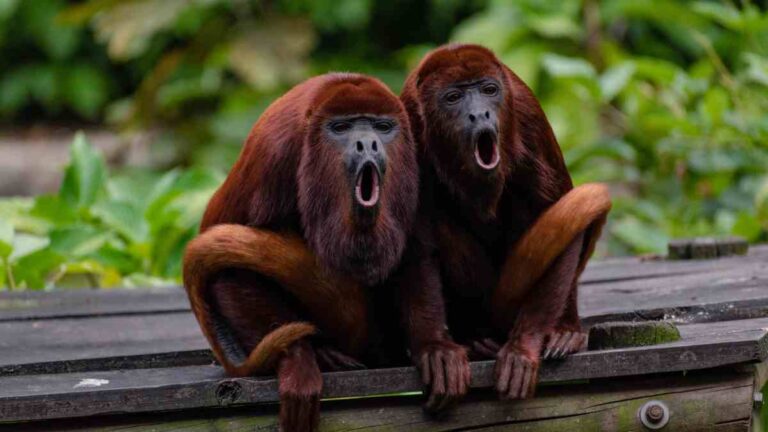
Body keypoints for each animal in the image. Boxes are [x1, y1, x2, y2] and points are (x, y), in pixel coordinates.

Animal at [183, 72, 468, 431]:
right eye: (342, 128)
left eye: (381, 127)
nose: (367, 144)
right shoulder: (273, 154)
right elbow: (230, 269)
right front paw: (298, 359)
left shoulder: (415, 152)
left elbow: (416, 253)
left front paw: (434, 346)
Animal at [400, 44, 611, 401]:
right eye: (453, 97)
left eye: (489, 90)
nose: (480, 115)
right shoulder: (407, 129)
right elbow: (418, 245)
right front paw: (435, 347)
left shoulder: (527, 114)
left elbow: (557, 213)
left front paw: (524, 347)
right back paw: (476, 337)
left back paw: (564, 330)